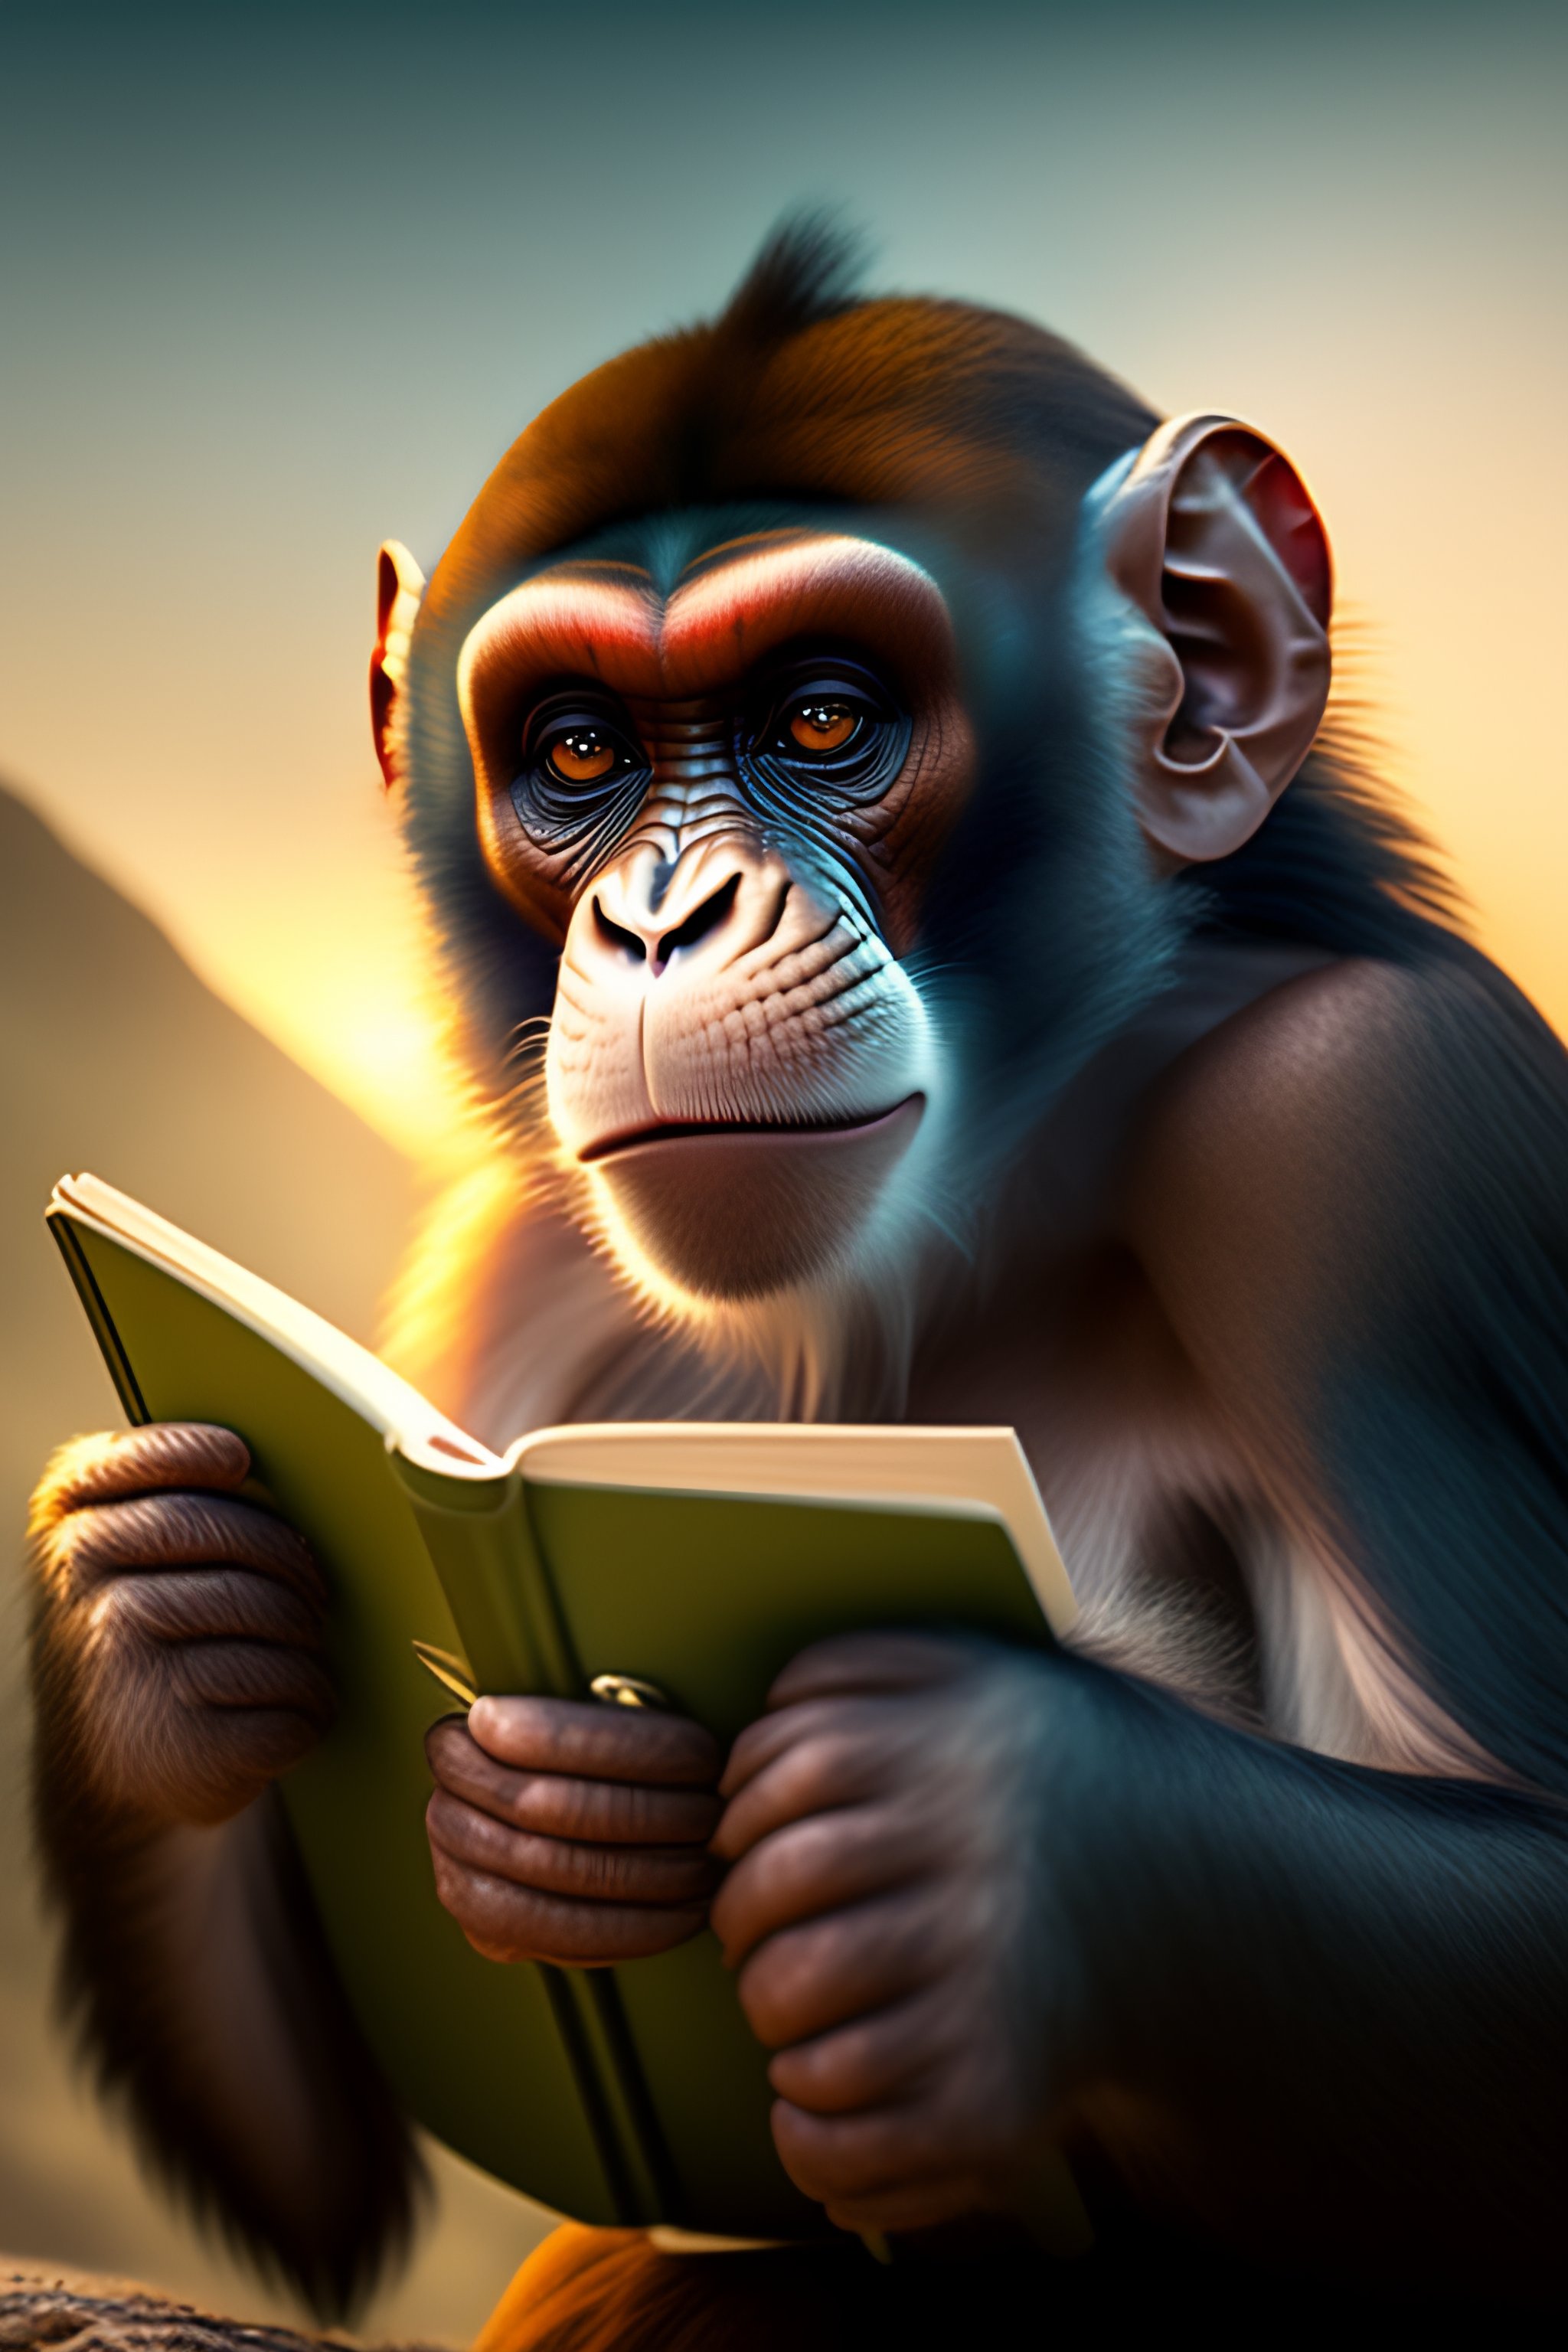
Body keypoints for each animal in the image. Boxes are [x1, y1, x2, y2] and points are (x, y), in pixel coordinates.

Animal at [27, 219, 1568, 2339]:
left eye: (824, 719)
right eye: (577, 751)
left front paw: (989, 1833)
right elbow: (315, 2165)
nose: (661, 918)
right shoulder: (504, 1263)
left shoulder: (1365, 1137)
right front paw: (164, 1609)